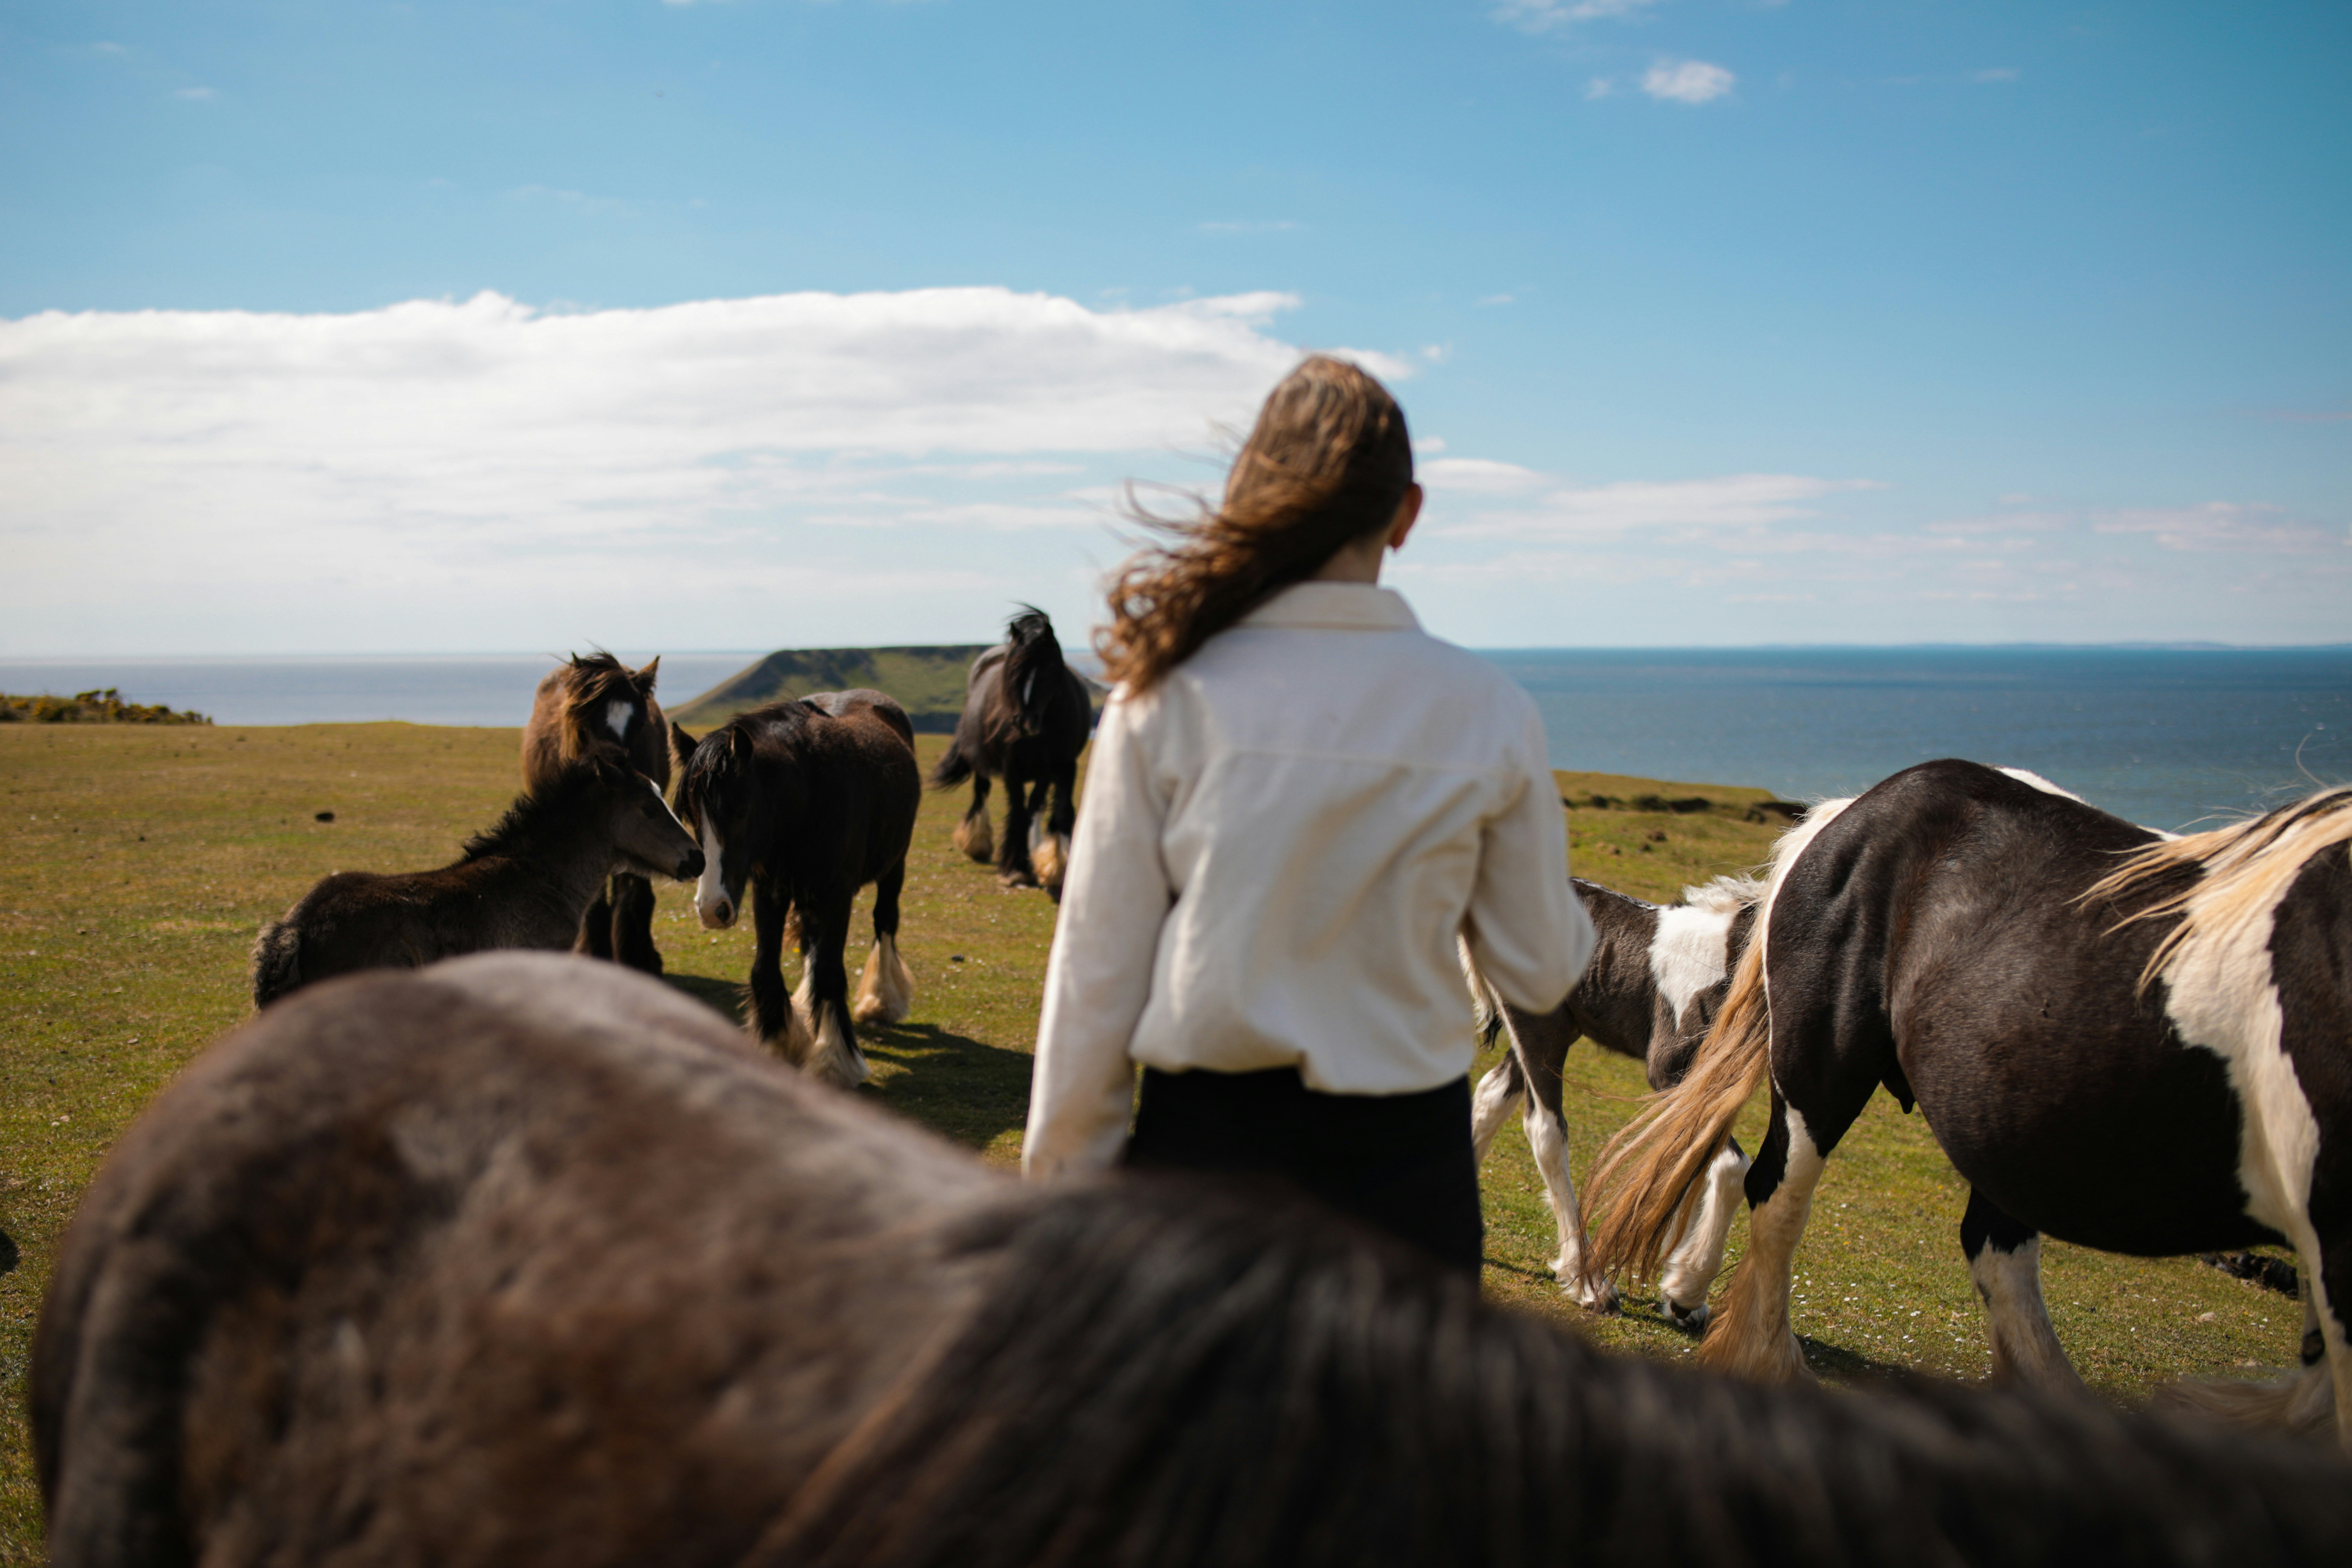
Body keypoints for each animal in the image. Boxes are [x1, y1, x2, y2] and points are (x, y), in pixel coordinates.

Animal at [520, 652, 675, 973]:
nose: (618, 775)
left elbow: (639, 898)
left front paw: (642, 958)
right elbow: (596, 907)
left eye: (641, 725)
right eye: (587, 726)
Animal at [672, 690, 920, 1088]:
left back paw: (881, 1001)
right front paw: (780, 1044)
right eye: (693, 817)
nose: (712, 909)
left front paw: (835, 1060)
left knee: (884, 923)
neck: (810, 795)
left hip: (894, 866)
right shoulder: (769, 890)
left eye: (741, 811)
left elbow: (831, 971)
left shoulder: (837, 896)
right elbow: (766, 968)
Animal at [931, 607, 1093, 895]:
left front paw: (1055, 865)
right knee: (981, 790)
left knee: (1036, 804)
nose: (1025, 722)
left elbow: (1054, 808)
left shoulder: (1061, 765)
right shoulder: (1011, 767)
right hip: (981, 760)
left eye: (1050, 666)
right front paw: (1017, 869)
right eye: (1013, 668)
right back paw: (977, 842)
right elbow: (1018, 809)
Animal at [1462, 874, 1762, 1324]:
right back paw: (1589, 1283)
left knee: (1491, 1096)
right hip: (1540, 1030)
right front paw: (1685, 1291)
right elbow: (1725, 1166)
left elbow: (1690, 1161)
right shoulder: (1671, 1073)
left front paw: (1680, 1291)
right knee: (1545, 1130)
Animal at [1584, 759, 2352, 1450]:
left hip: (2010, 1127)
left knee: (1993, 1247)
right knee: (1778, 1196)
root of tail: (1851, 809)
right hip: (1822, 1077)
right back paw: (1762, 1355)